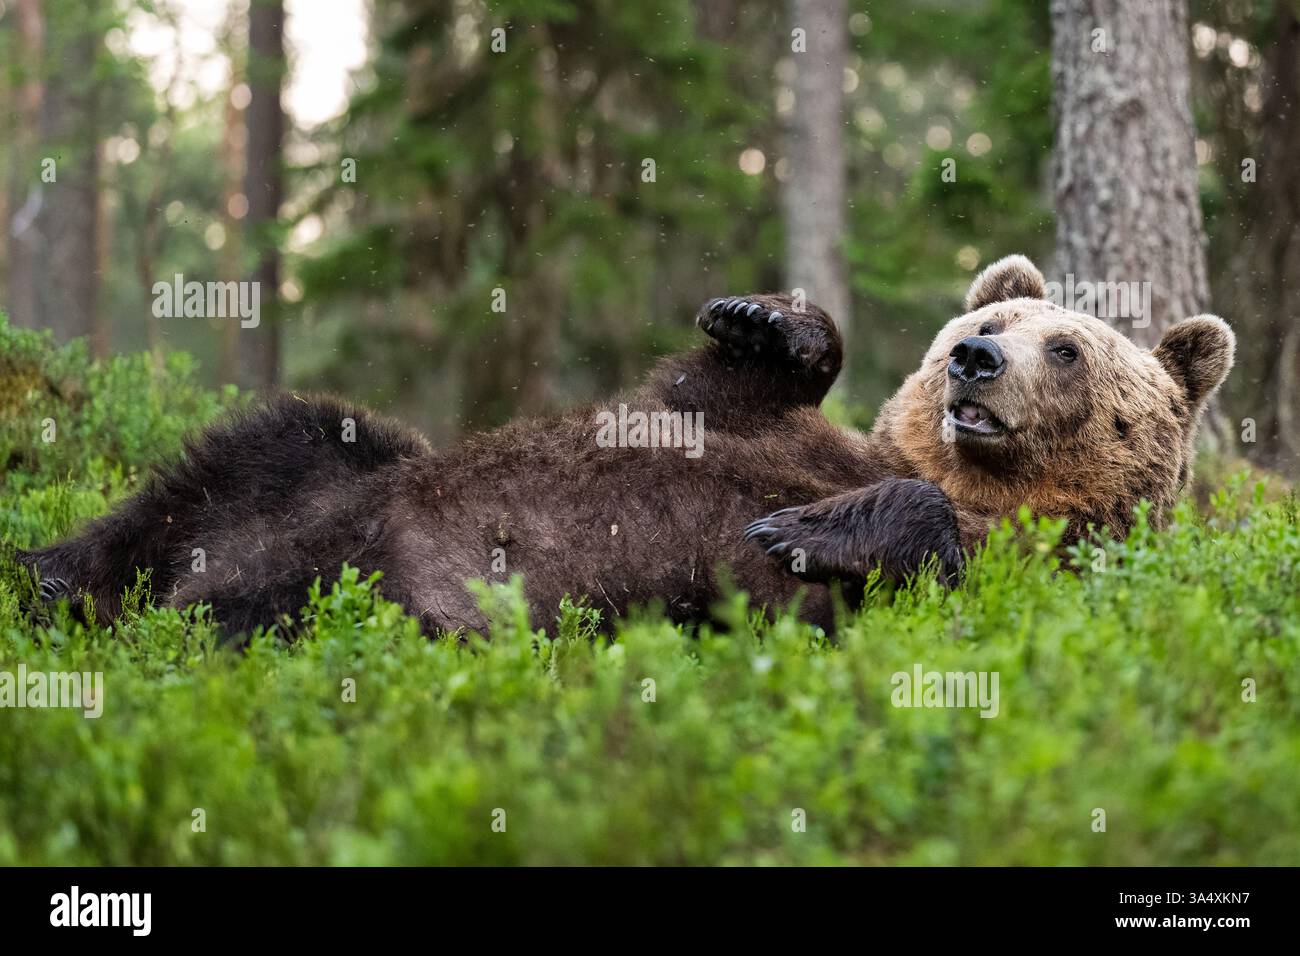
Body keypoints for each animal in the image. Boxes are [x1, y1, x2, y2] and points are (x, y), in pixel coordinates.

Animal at [18, 255, 1234, 638]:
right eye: (986, 321)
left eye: (1067, 347)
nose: (978, 358)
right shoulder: (744, 421)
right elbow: (710, 388)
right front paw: (761, 316)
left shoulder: (1038, 564)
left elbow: (940, 565)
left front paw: (801, 530)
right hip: (328, 469)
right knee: (247, 455)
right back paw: (43, 576)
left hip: (422, 605)